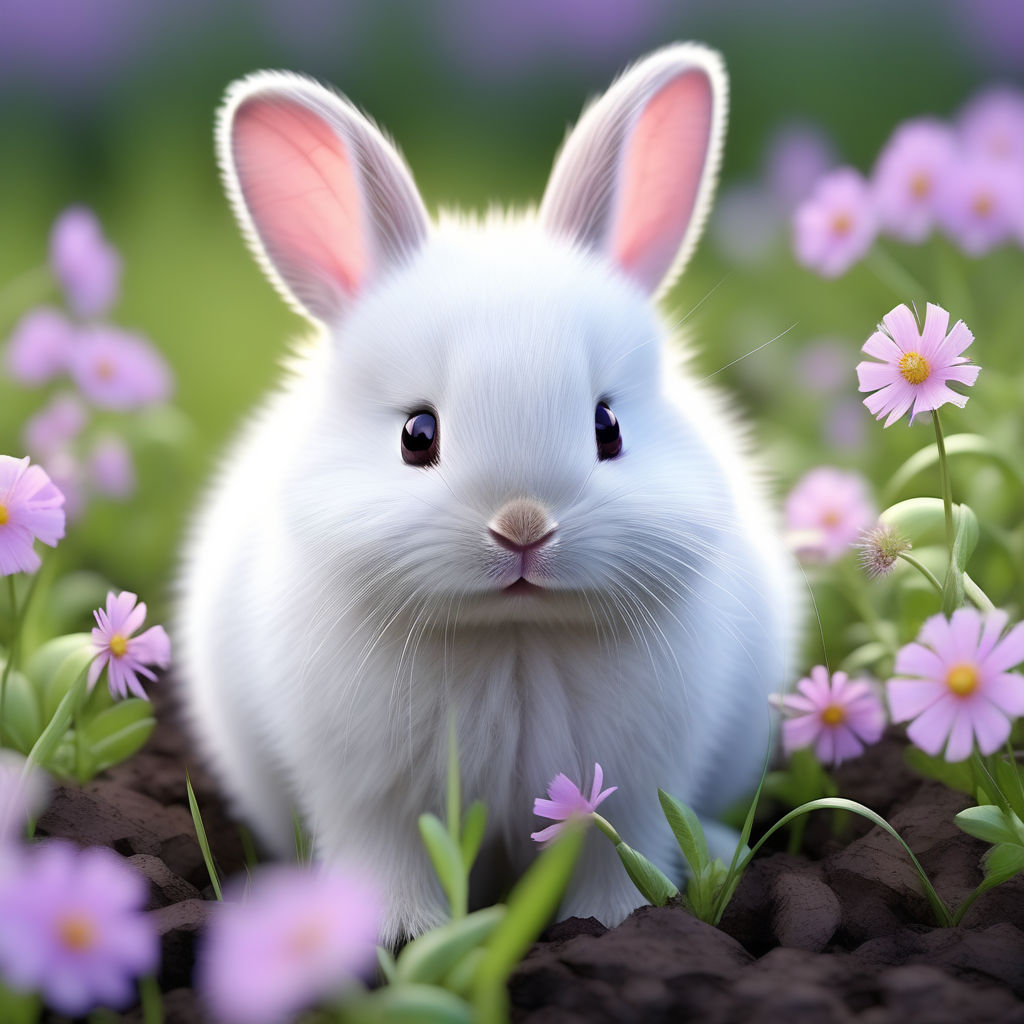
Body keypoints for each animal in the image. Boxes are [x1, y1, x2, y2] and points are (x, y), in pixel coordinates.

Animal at [177, 42, 798, 945]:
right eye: (417, 435)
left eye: (608, 425)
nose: (523, 527)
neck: (513, 633)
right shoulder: (371, 803)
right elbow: (391, 861)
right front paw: (404, 935)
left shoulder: (631, 792)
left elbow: (614, 853)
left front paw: (615, 924)